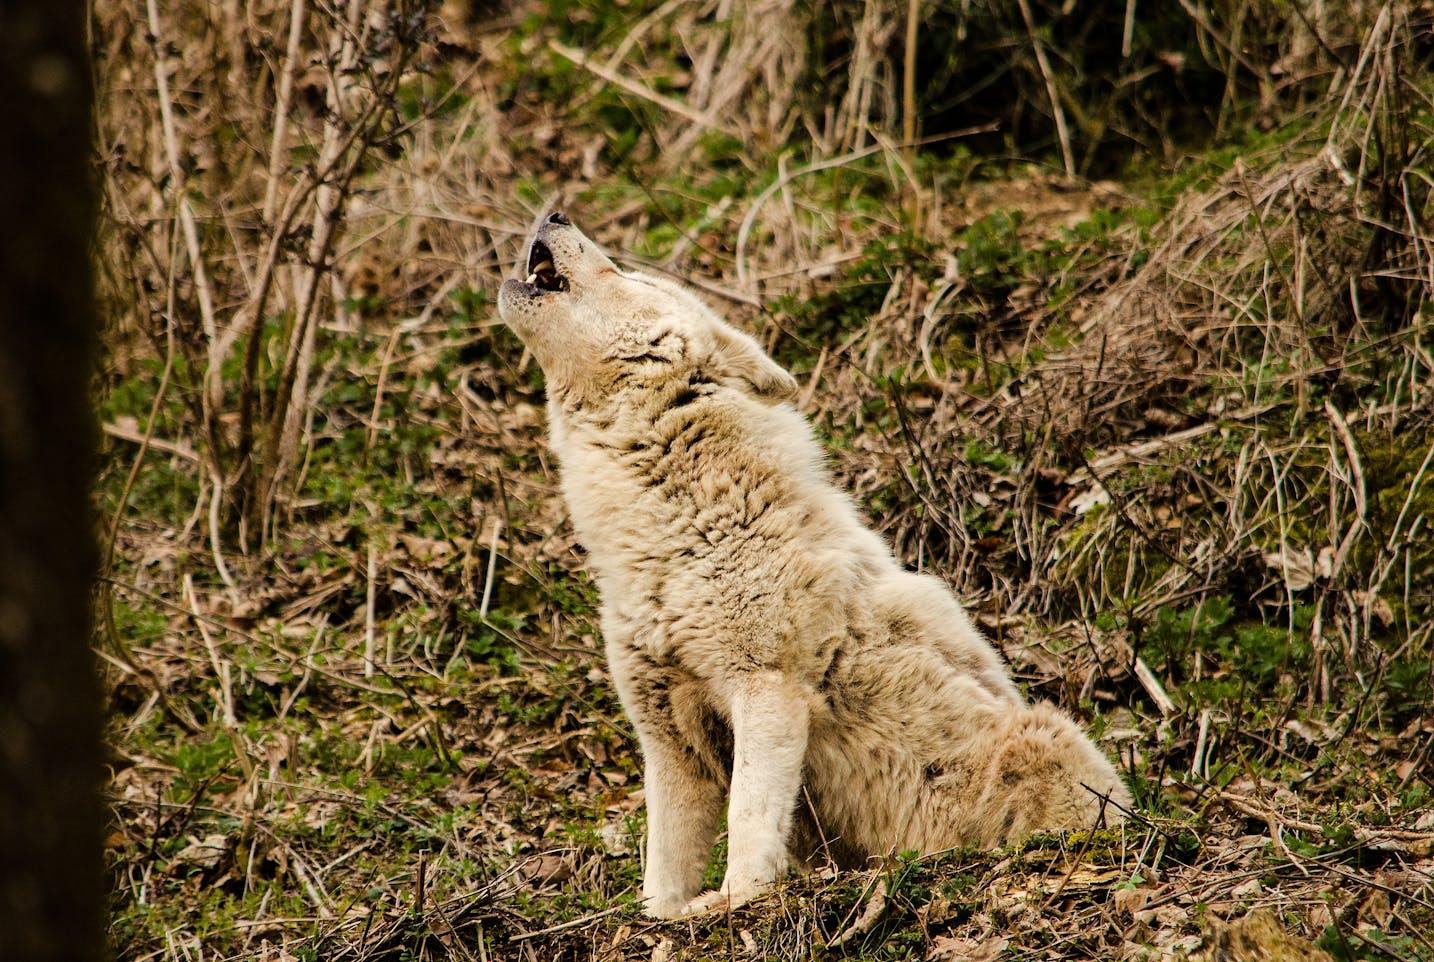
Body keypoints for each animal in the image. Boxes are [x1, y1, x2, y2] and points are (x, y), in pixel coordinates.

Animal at [497, 212, 1131, 919]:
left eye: (631, 276)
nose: (555, 215)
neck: (672, 530)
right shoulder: (669, 738)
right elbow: (663, 864)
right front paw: (661, 918)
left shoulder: (767, 688)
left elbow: (748, 819)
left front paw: (735, 901)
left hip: (1043, 736)